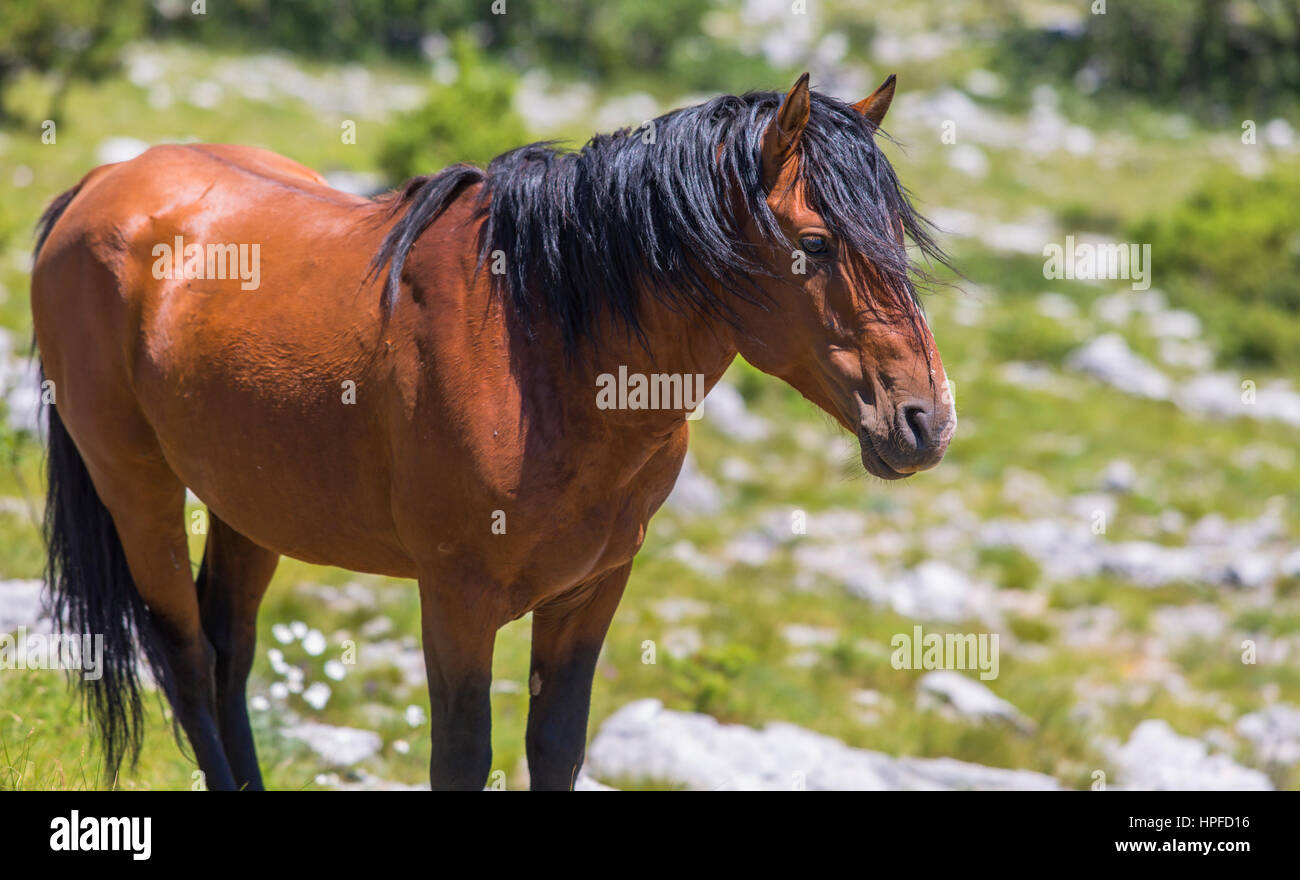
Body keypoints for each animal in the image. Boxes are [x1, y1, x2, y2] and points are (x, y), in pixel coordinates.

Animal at [30, 72, 955, 790]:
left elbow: (555, 749)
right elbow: (462, 759)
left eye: (896, 239)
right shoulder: (457, 600)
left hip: (247, 505)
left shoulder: (593, 591)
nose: (926, 420)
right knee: (185, 654)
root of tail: (99, 186)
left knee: (229, 651)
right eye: (816, 243)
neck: (544, 352)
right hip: (136, 487)